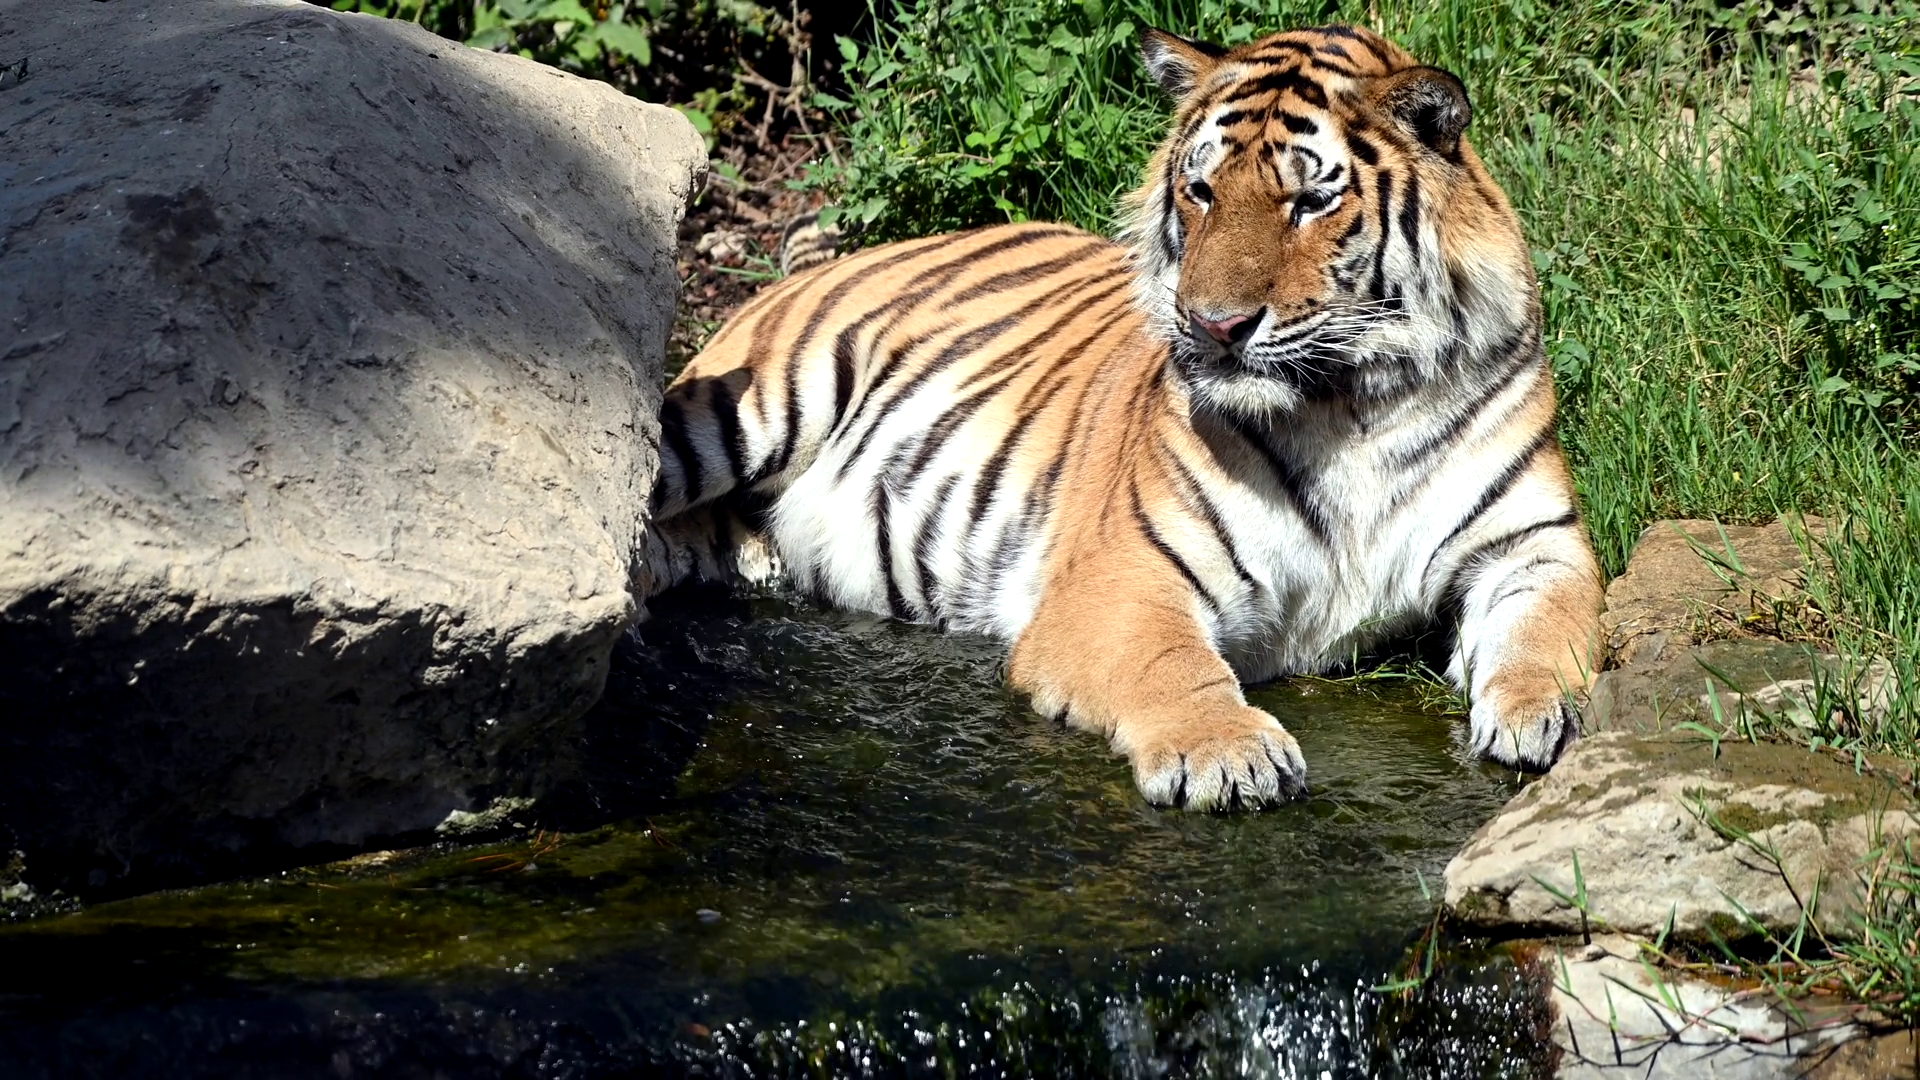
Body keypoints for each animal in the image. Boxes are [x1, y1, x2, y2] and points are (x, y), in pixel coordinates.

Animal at [644, 23, 1603, 810]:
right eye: (1202, 191)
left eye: (1309, 202)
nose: (1214, 325)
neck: (1352, 404)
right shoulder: (1127, 574)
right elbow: (1171, 665)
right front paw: (1227, 754)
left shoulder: (1534, 540)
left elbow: (1549, 628)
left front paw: (1544, 716)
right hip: (749, 407)